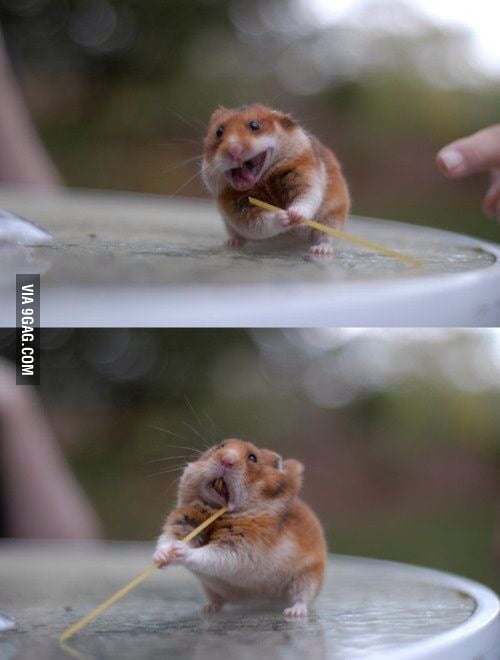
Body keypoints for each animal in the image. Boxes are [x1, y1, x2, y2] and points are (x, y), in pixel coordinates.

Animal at [153, 437, 326, 617]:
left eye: (252, 457)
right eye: (220, 446)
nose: (226, 460)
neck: (216, 512)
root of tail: (265, 602)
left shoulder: (242, 546)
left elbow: (209, 554)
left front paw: (180, 550)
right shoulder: (183, 522)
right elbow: (168, 539)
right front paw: (161, 557)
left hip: (307, 576)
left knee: (302, 597)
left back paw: (292, 612)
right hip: (211, 589)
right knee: (218, 601)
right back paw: (206, 609)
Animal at [202, 103, 350, 255]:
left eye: (254, 125)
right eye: (218, 131)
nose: (234, 149)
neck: (263, 179)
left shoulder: (305, 175)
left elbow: (305, 198)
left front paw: (293, 215)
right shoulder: (238, 210)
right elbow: (260, 222)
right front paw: (284, 217)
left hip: (333, 217)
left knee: (326, 237)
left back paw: (320, 250)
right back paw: (232, 243)